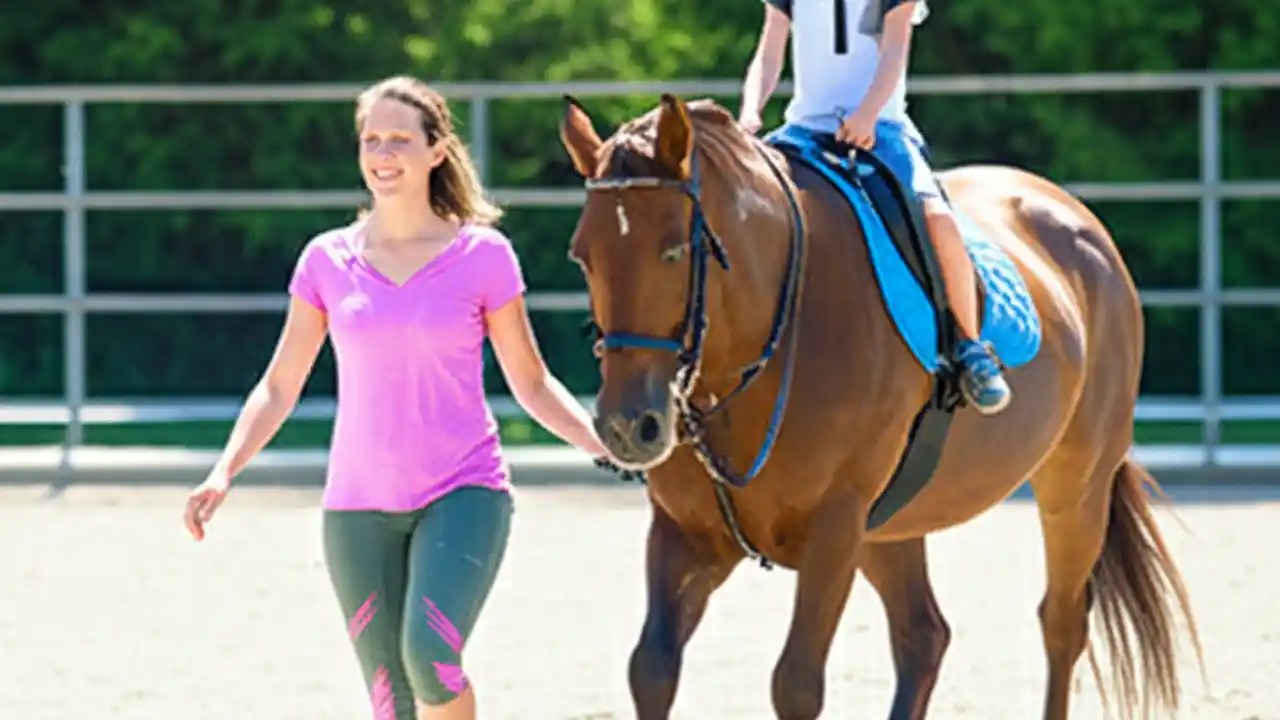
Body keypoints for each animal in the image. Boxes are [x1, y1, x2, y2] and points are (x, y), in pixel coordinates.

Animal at [555, 92, 1202, 720]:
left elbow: (795, 685)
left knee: (1062, 624)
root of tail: (1079, 222)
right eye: (582, 257)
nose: (627, 426)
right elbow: (652, 670)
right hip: (891, 527)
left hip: (1076, 489)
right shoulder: (686, 536)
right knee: (924, 635)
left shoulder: (835, 530)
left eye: (672, 252)